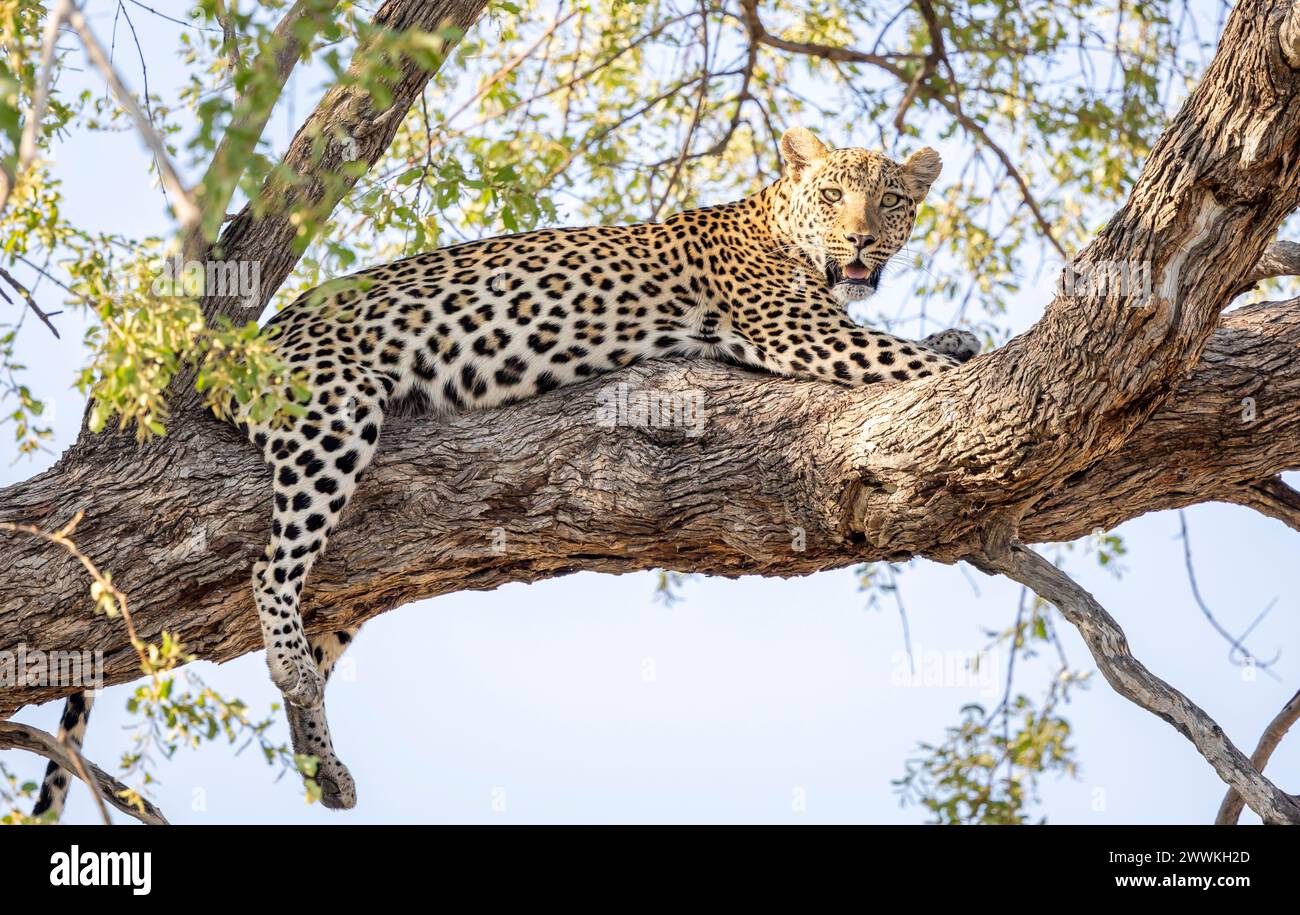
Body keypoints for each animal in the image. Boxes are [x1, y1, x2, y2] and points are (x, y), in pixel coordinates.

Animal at [34, 128, 979, 818]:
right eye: (834, 195)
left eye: (893, 200)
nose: (861, 239)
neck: (776, 225)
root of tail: (251, 345)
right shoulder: (802, 332)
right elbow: (913, 363)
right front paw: (971, 349)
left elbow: (925, 348)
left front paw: (960, 335)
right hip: (335, 411)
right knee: (273, 565)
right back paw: (298, 678)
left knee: (316, 609)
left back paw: (322, 763)